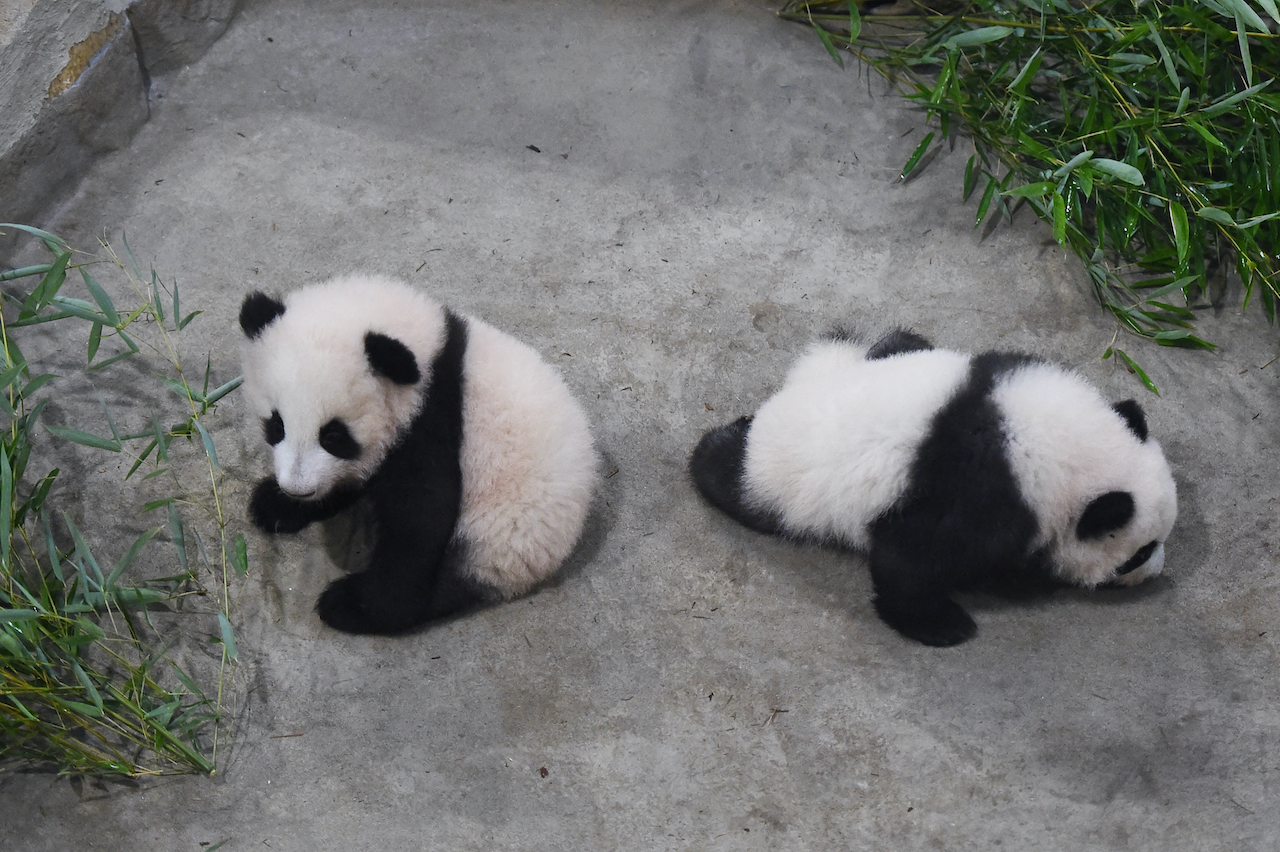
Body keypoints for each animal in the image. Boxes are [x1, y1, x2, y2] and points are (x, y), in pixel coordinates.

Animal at [239, 273, 598, 635]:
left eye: (334, 436)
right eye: (276, 425)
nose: (297, 488)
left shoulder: (433, 422)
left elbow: (421, 516)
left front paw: (364, 605)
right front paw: (274, 504)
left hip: (501, 534)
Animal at [690, 328, 1177, 646]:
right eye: (1138, 552)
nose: (1155, 572)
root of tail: (787, 395)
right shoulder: (981, 495)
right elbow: (910, 559)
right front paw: (943, 624)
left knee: (891, 340)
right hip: (781, 476)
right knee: (732, 477)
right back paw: (716, 452)